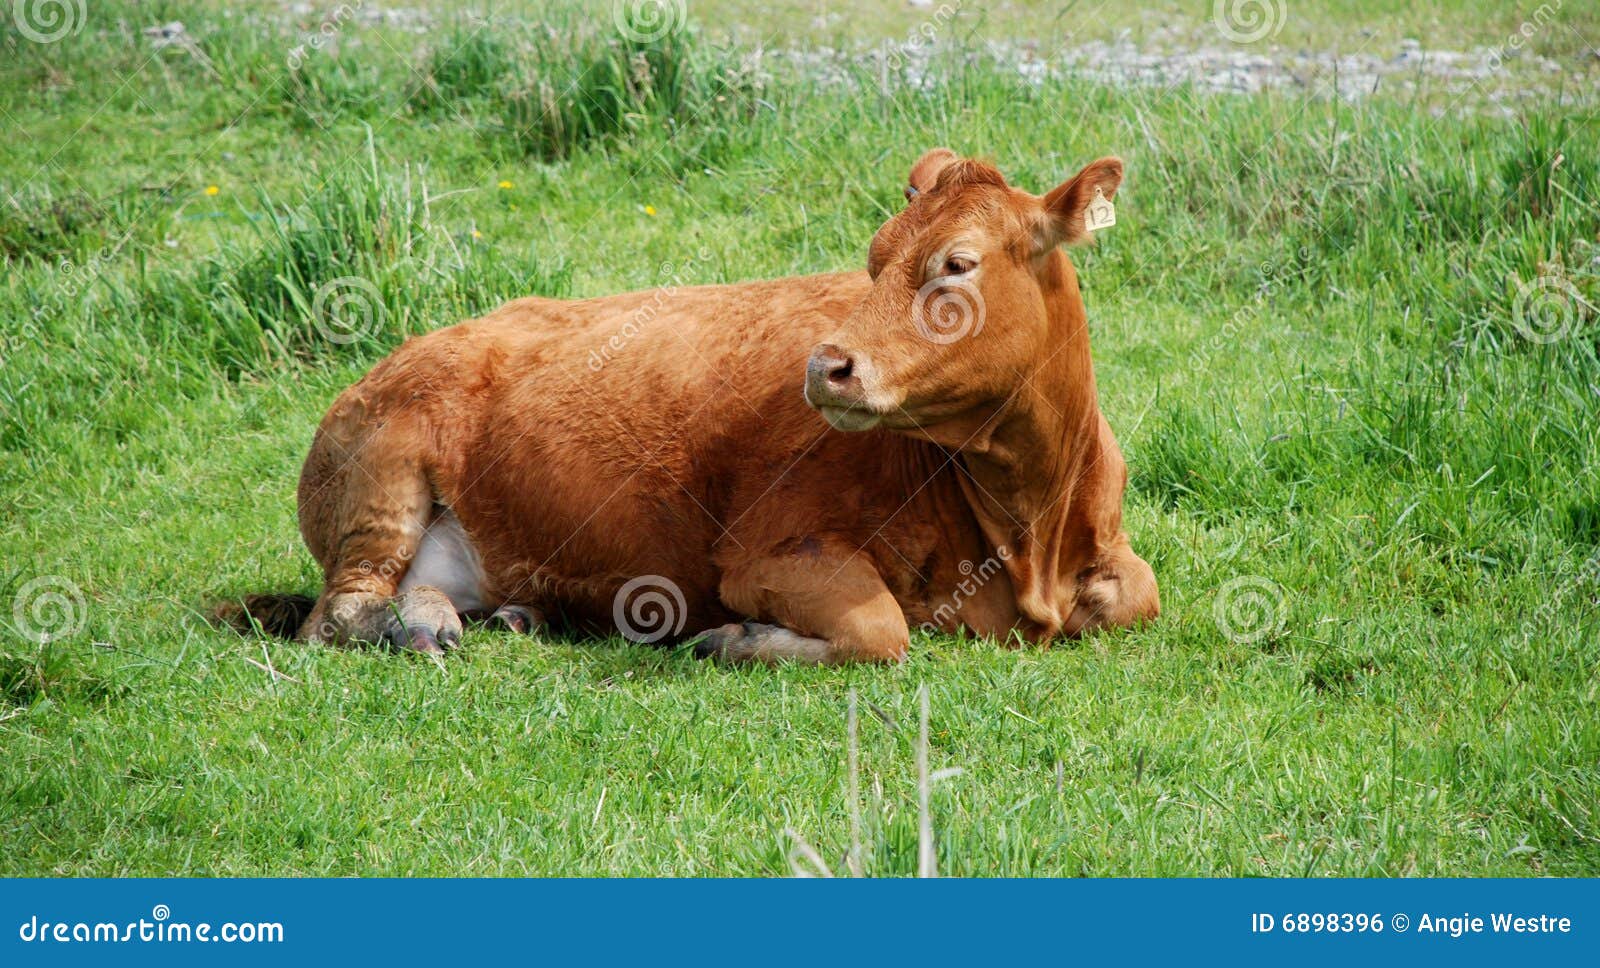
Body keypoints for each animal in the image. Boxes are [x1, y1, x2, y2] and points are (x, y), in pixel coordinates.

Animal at [224, 149, 1159, 663]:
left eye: (956, 265)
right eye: (873, 257)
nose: (828, 368)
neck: (1028, 528)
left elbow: (1138, 594)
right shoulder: (766, 554)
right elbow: (879, 631)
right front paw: (734, 640)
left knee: (426, 588)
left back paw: (482, 618)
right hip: (379, 484)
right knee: (341, 612)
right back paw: (411, 630)